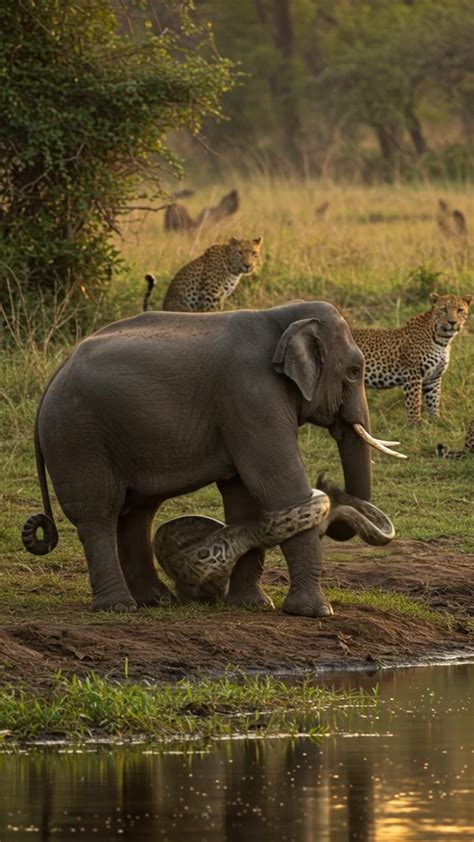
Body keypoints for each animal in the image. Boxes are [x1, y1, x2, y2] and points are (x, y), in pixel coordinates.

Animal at [22, 301, 405, 617]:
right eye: (354, 372)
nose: (328, 482)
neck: (281, 318)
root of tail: (52, 379)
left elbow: (243, 497)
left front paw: (253, 605)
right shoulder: (252, 397)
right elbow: (278, 487)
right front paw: (315, 613)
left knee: (137, 512)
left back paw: (155, 600)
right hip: (78, 436)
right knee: (98, 513)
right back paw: (118, 607)